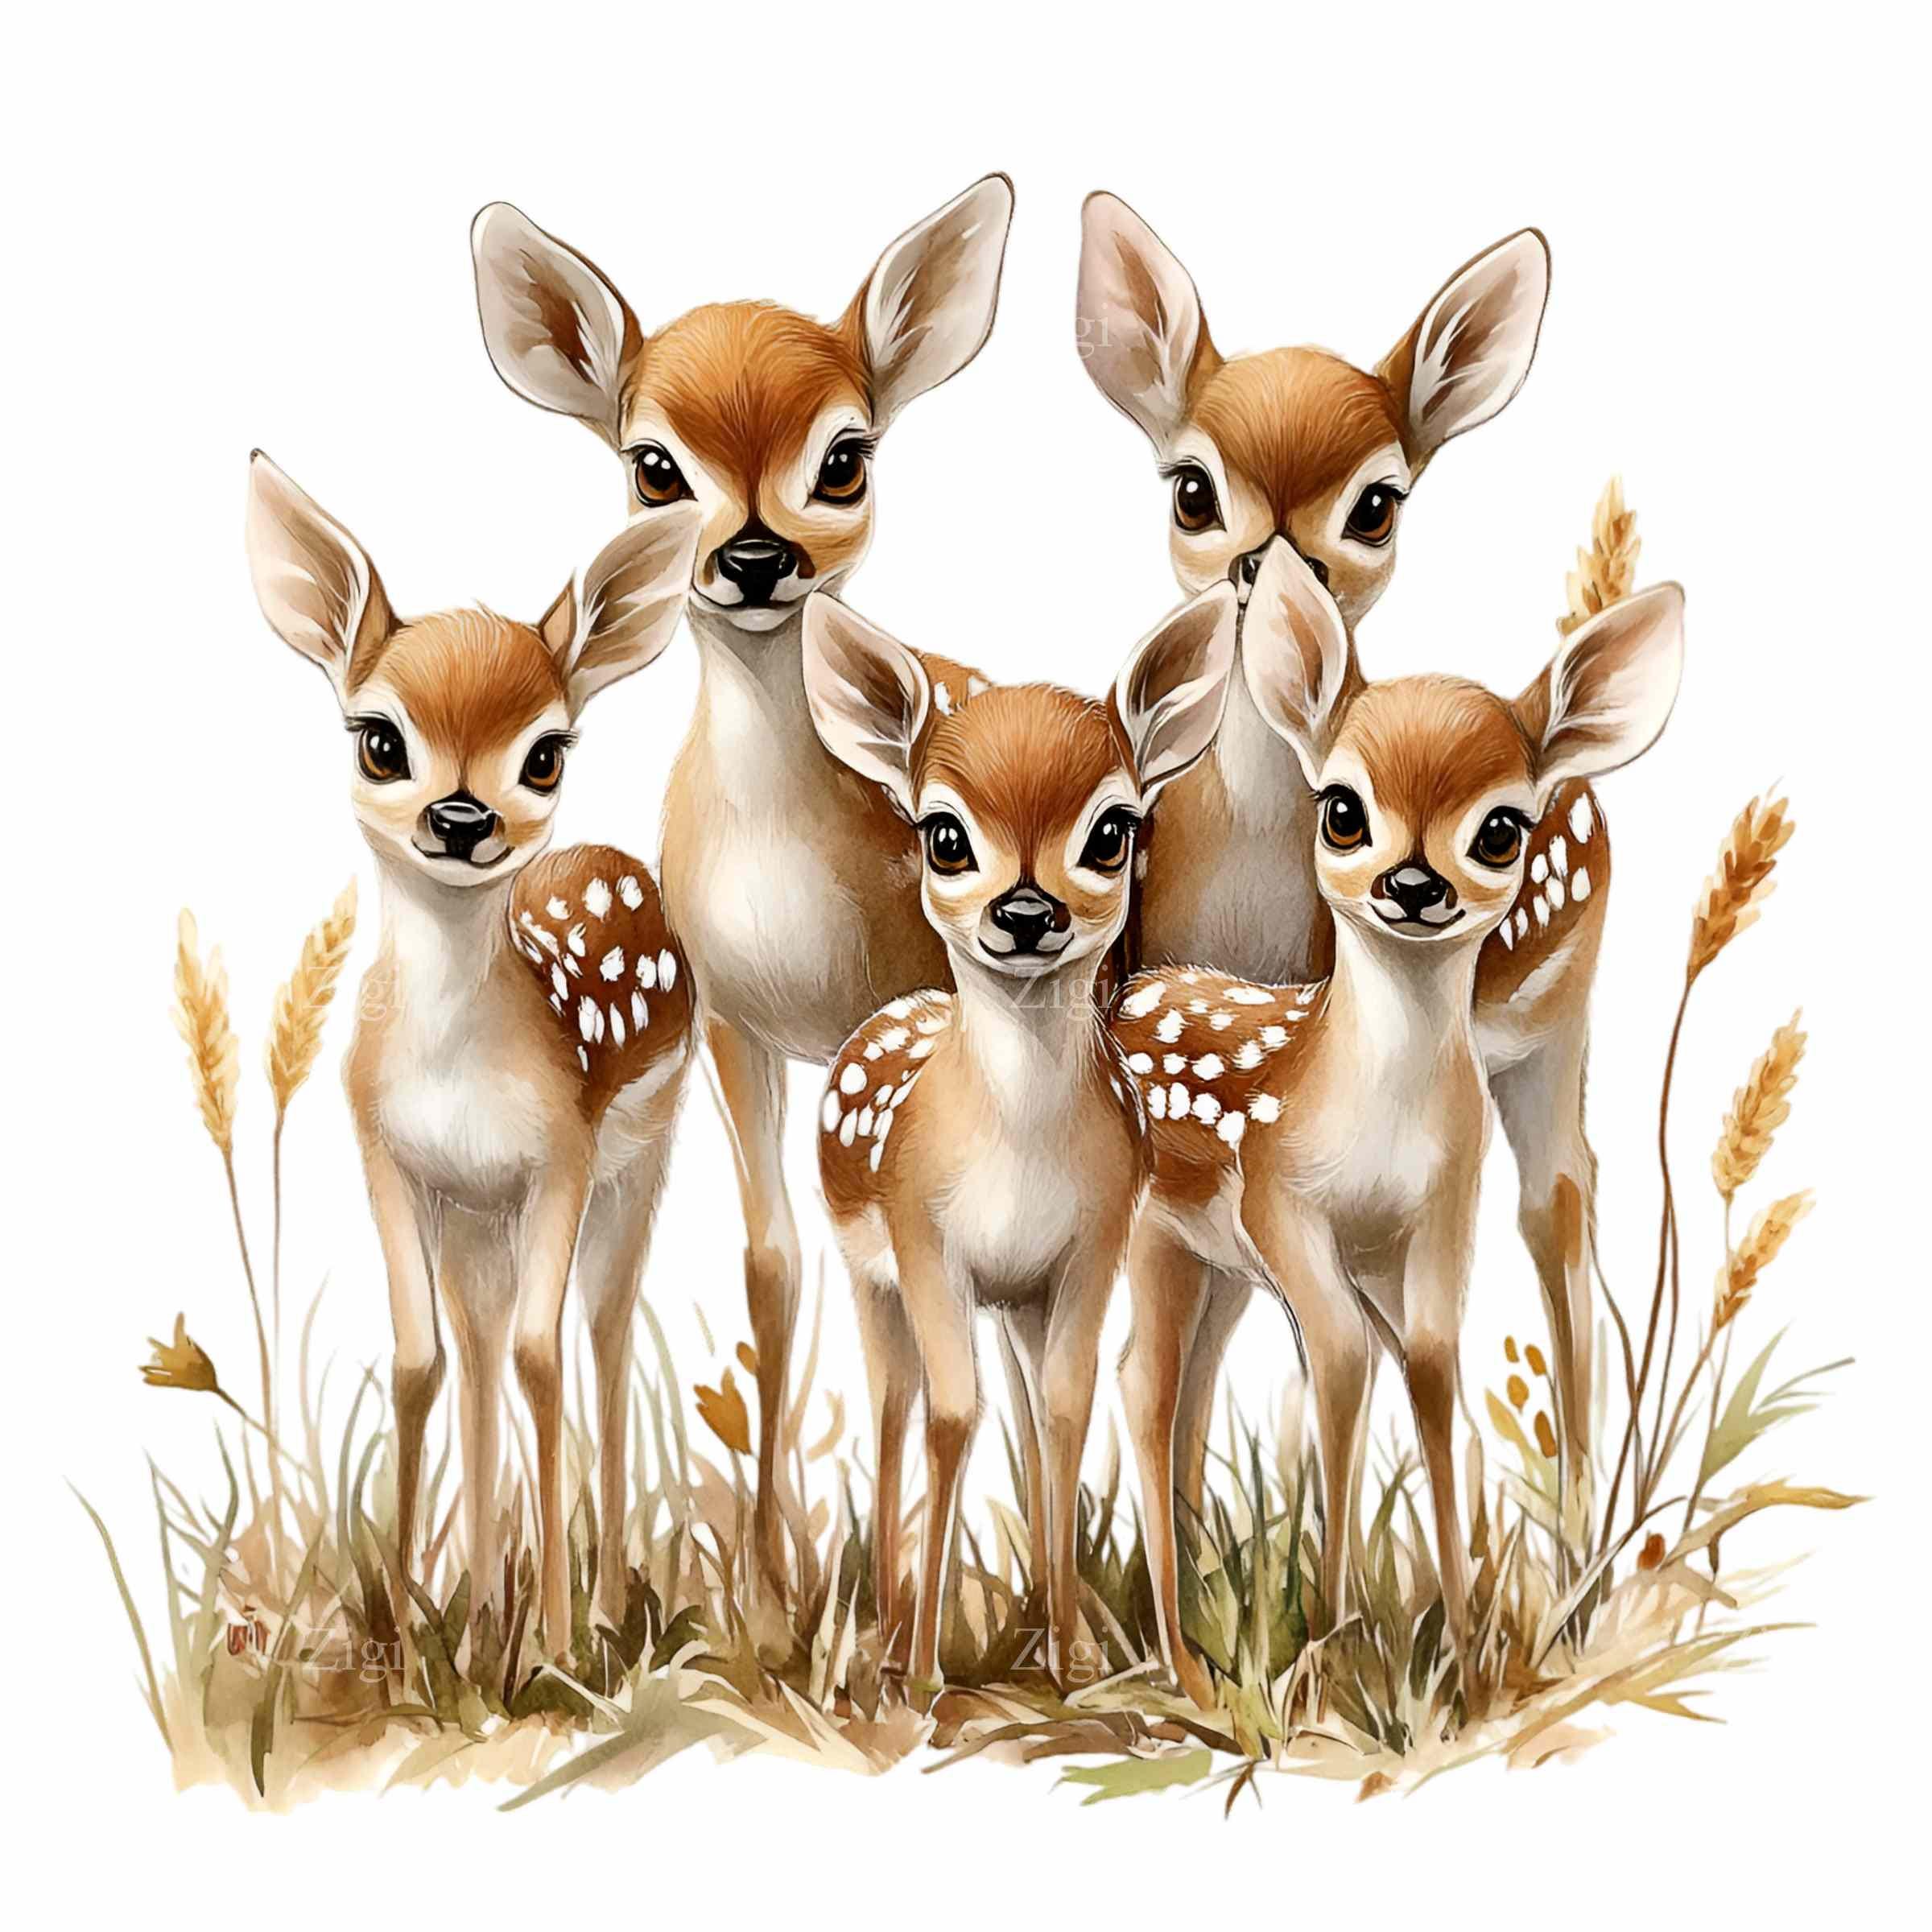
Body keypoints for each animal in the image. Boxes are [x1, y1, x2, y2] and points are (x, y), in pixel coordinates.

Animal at [244, 453, 702, 1652]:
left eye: (543, 753)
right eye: (379, 738)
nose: (460, 817)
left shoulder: (565, 1153)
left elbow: (545, 1359)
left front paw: (557, 1644)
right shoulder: (389, 1155)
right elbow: (420, 1364)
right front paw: (410, 1640)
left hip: (641, 1159)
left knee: (600, 1330)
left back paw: (595, 1607)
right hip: (476, 1221)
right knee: (483, 1346)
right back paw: (482, 1605)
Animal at [471, 178, 1013, 1590]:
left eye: (845, 455)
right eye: (654, 466)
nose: (759, 558)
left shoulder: (913, 1006)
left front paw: (902, 1586)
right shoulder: (732, 1019)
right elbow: (773, 1270)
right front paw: (774, 1572)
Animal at [802, 580, 1239, 1696]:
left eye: (1113, 829)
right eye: (944, 834)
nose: (1028, 910)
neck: (1021, 1146)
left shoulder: (1091, 1246)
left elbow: (1066, 1412)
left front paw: (1074, 1655)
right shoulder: (924, 1236)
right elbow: (953, 1418)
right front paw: (921, 1671)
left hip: (1018, 1302)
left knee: (1025, 1411)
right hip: (871, 1272)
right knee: (894, 1404)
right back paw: (882, 1629)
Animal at [1077, 193, 1612, 1522]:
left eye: (1378, 501)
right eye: (1192, 488)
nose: (1273, 565)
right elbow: (1223, 1333)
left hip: (1557, 1027)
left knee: (1559, 1208)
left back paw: (1585, 1524)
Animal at [1110, 540, 1684, 1707]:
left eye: (1498, 827)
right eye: (1344, 809)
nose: (1412, 883)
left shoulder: (1436, 1214)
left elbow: (1429, 1368)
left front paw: (1457, 1652)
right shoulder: (1285, 1206)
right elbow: (1341, 1366)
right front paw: (1334, 1648)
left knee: (1559, 1203)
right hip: (1170, 1233)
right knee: (1147, 1383)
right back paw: (1186, 1660)